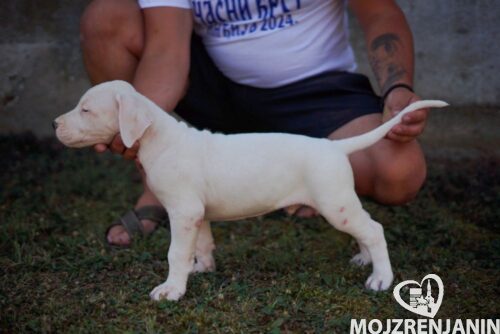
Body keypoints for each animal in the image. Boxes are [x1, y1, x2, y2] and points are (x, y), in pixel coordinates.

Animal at [54, 80, 450, 300]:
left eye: (86, 109)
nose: (55, 123)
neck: (161, 139)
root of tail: (334, 147)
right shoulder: (196, 213)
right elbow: (202, 243)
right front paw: (202, 269)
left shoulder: (182, 212)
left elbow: (175, 253)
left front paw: (171, 290)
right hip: (340, 203)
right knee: (365, 228)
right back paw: (365, 259)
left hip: (333, 202)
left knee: (374, 229)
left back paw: (380, 277)